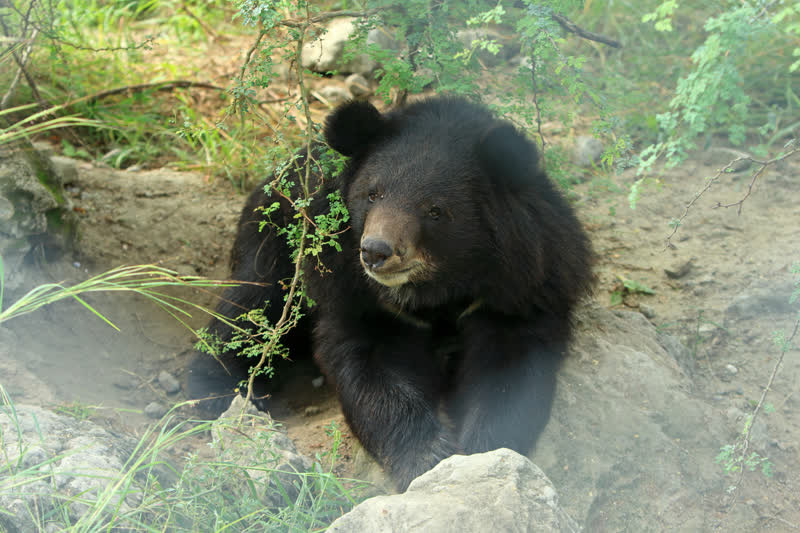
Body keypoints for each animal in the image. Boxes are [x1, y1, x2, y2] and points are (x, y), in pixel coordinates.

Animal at [187, 96, 593, 490]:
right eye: (372, 194)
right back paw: (212, 389)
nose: (375, 251)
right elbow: (372, 372)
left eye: (436, 211)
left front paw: (482, 450)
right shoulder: (352, 290)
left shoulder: (525, 285)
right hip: (272, 243)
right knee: (251, 308)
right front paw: (427, 457)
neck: (437, 288)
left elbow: (509, 372)